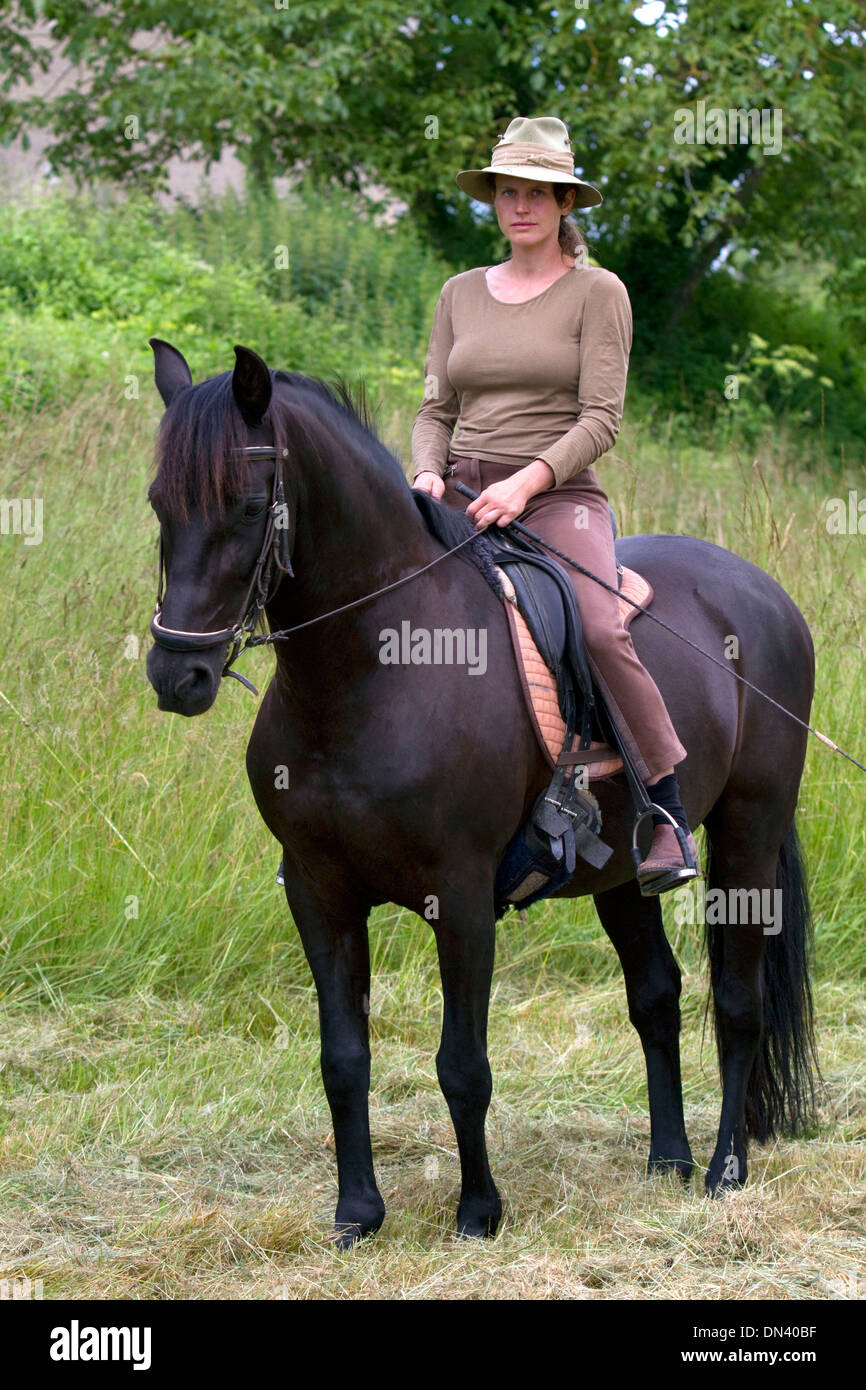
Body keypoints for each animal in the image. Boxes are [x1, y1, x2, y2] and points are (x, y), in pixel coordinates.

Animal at [145, 339, 819, 1247]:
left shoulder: (460, 897)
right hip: (624, 873)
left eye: (248, 505)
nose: (176, 673)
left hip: (749, 833)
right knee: (657, 996)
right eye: (160, 503)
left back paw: (723, 1170)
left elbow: (462, 1064)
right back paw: (668, 1159)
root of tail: (762, 592)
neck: (370, 670)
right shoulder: (319, 894)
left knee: (739, 1004)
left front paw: (478, 1212)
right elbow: (342, 1057)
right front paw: (357, 1213)